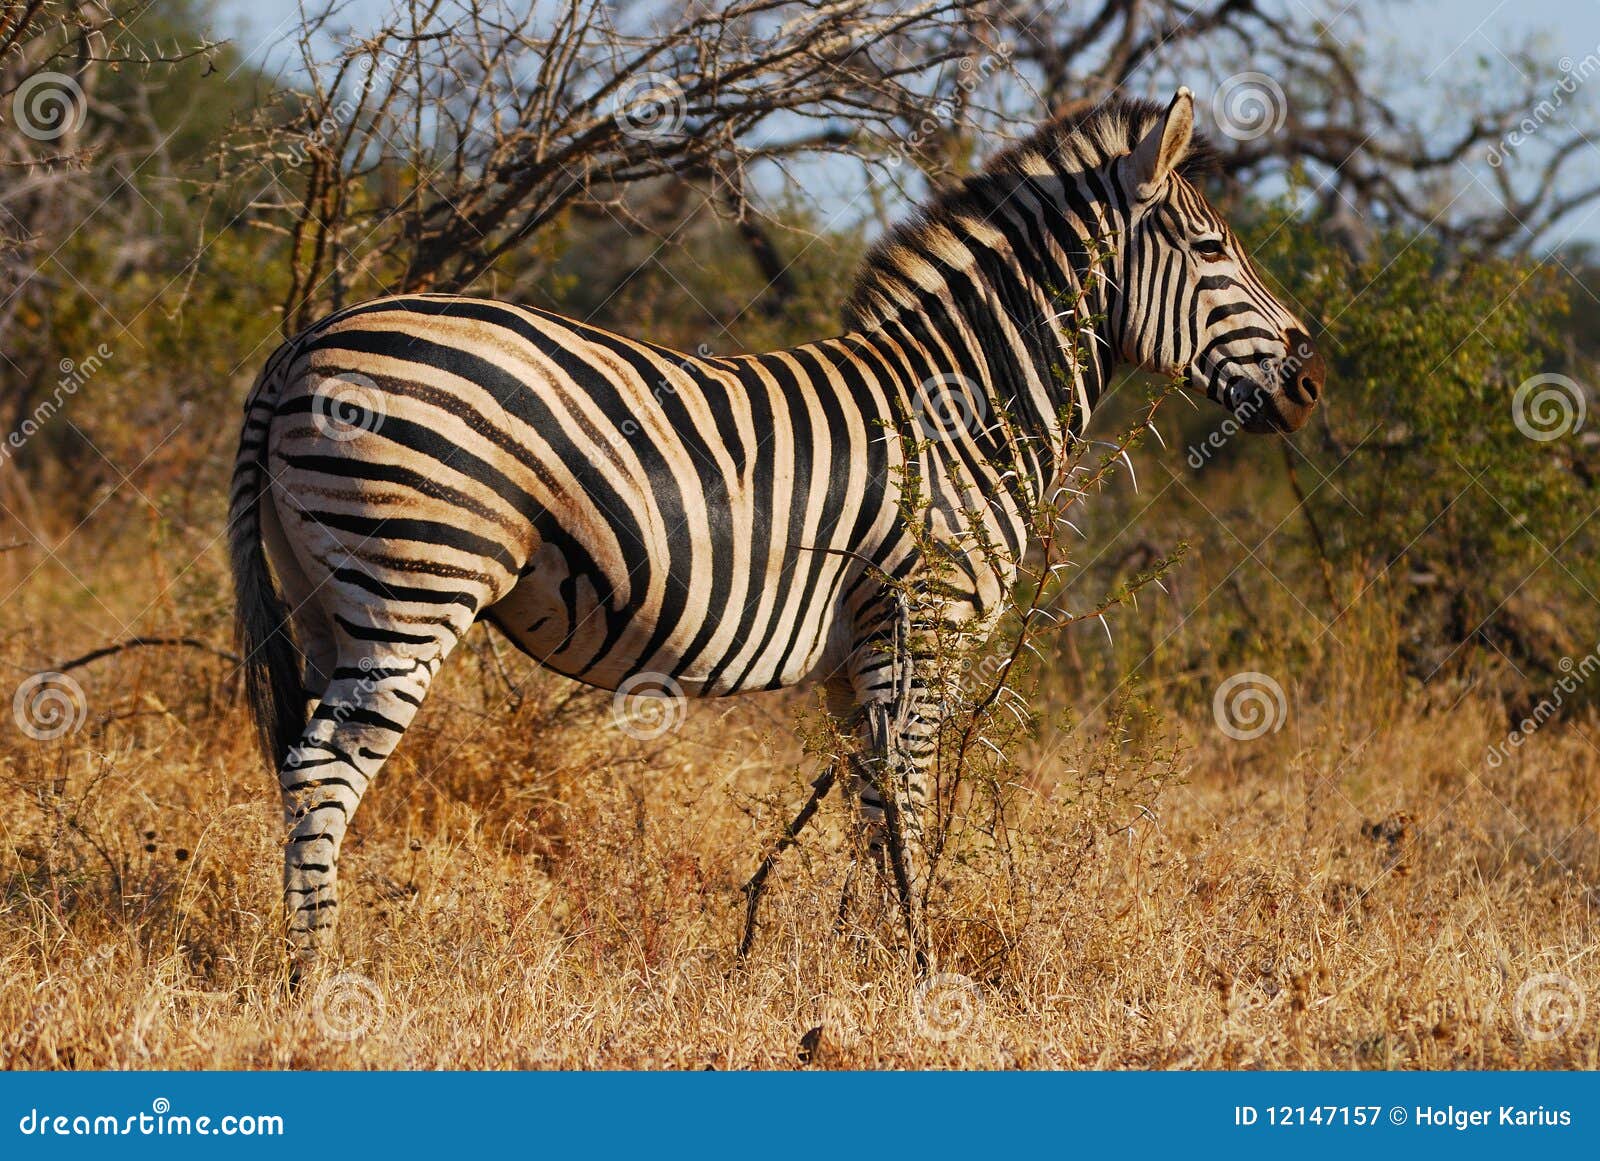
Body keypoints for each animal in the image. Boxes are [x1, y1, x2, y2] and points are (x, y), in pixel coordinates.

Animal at [230, 88, 1324, 968]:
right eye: (1214, 252)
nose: (1311, 383)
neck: (963, 409)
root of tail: (301, 342)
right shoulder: (920, 623)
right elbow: (912, 801)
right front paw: (921, 970)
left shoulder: (858, 654)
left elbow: (870, 811)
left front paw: (861, 961)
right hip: (413, 585)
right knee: (324, 769)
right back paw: (318, 979)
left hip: (329, 597)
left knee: (298, 765)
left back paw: (309, 956)